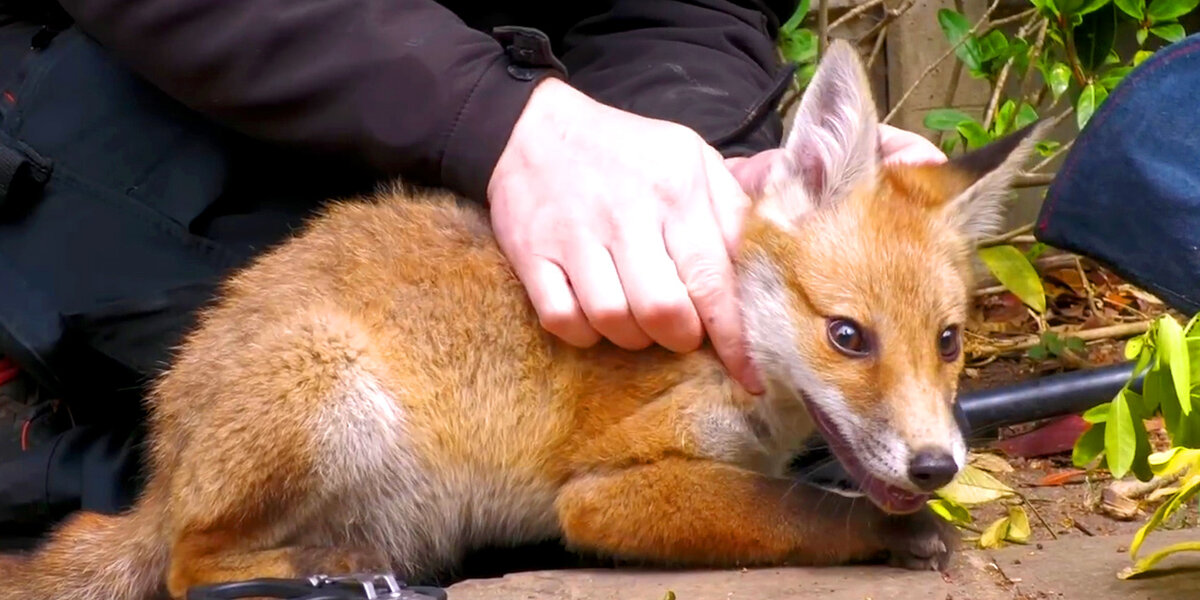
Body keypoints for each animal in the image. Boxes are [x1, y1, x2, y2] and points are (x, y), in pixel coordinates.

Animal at [0, 40, 1047, 600]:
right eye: (847, 336)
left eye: (949, 343)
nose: (936, 466)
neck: (732, 356)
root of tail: (165, 460)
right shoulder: (603, 489)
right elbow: (794, 510)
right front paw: (894, 533)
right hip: (329, 391)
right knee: (187, 567)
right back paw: (329, 570)